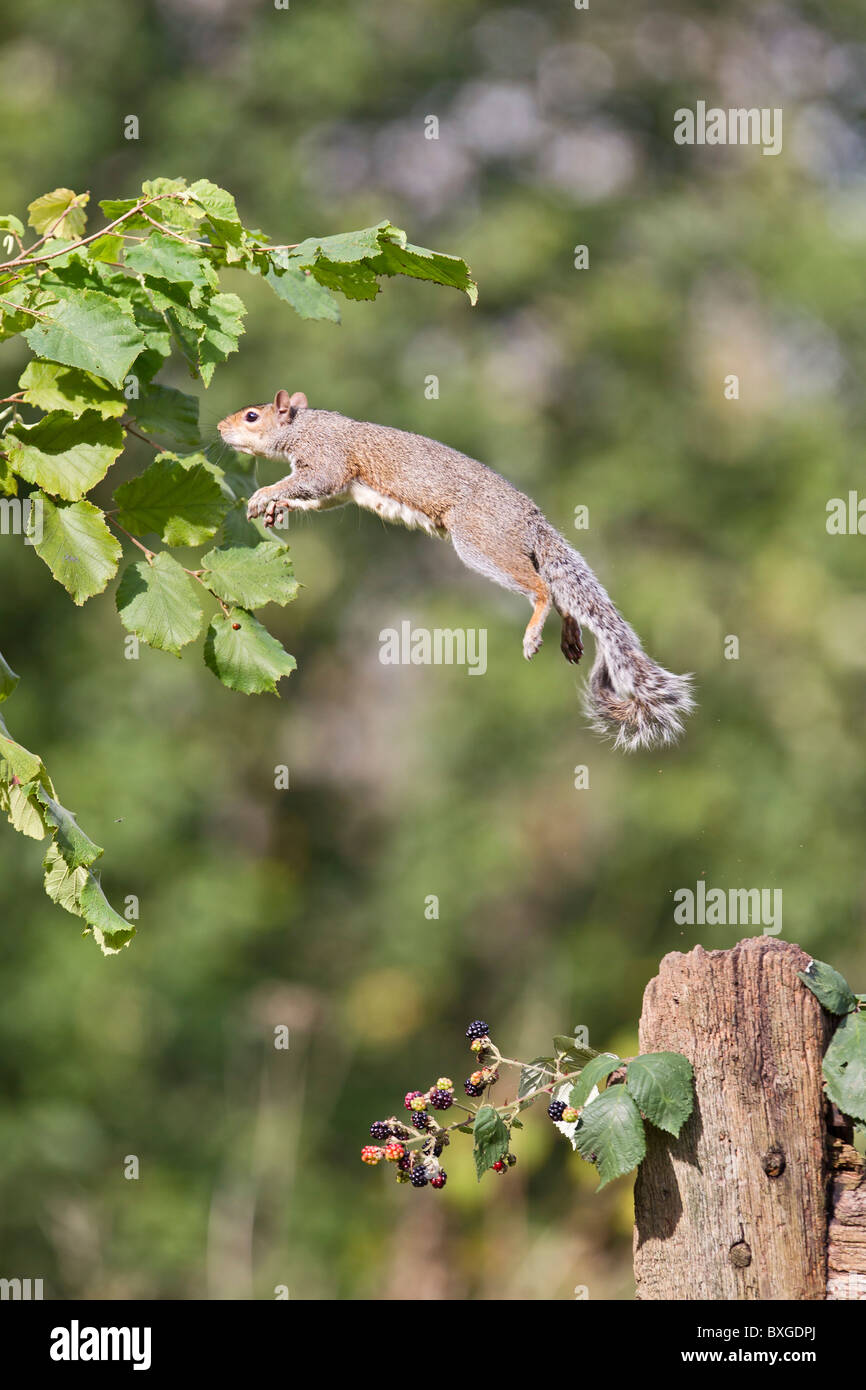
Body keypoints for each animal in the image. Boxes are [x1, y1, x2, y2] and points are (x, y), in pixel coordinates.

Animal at [218, 389, 694, 751]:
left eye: (252, 416)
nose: (221, 429)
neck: (304, 425)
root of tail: (530, 519)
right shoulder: (336, 487)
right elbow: (319, 497)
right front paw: (276, 505)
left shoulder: (327, 459)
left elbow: (315, 482)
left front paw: (265, 493)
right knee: (562, 593)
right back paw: (570, 632)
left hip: (480, 542)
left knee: (541, 587)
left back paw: (535, 631)